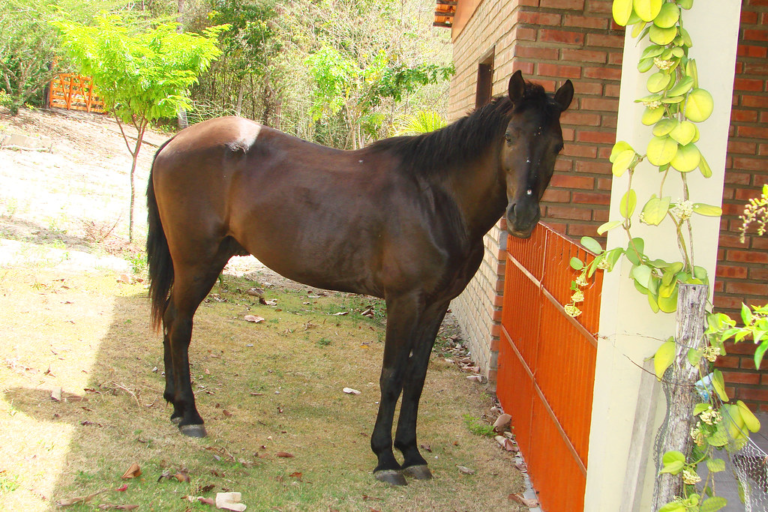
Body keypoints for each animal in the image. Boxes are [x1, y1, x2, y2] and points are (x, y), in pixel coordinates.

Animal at [146, 70, 573, 485]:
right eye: (510, 137)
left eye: (558, 145)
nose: (522, 217)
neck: (436, 199)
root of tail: (176, 140)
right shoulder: (404, 300)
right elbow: (392, 376)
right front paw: (385, 458)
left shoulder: (437, 303)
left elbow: (416, 376)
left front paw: (412, 453)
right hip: (196, 263)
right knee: (179, 325)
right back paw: (190, 416)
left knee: (169, 318)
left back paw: (173, 404)